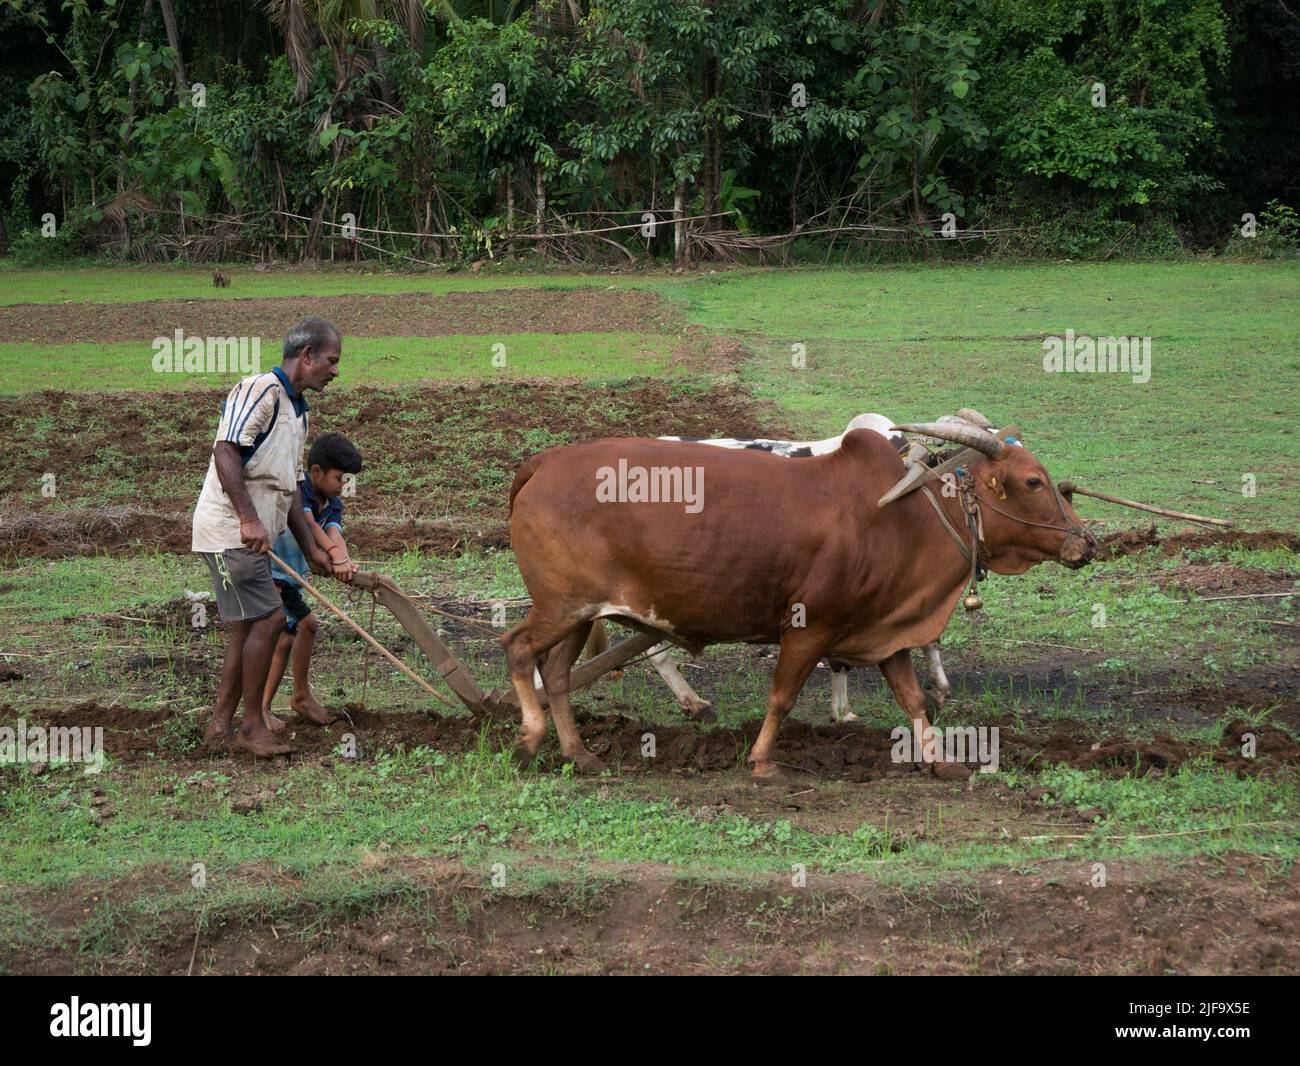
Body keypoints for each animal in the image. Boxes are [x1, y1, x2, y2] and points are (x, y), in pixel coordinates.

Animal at [502, 417, 1095, 784]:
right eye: (1033, 482)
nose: (1086, 543)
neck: (908, 517)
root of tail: (544, 462)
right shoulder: (809, 627)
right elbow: (782, 697)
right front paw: (764, 763)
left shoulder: (887, 632)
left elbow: (914, 700)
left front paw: (941, 761)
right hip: (561, 607)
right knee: (519, 648)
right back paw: (531, 738)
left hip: (580, 613)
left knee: (557, 674)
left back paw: (580, 753)